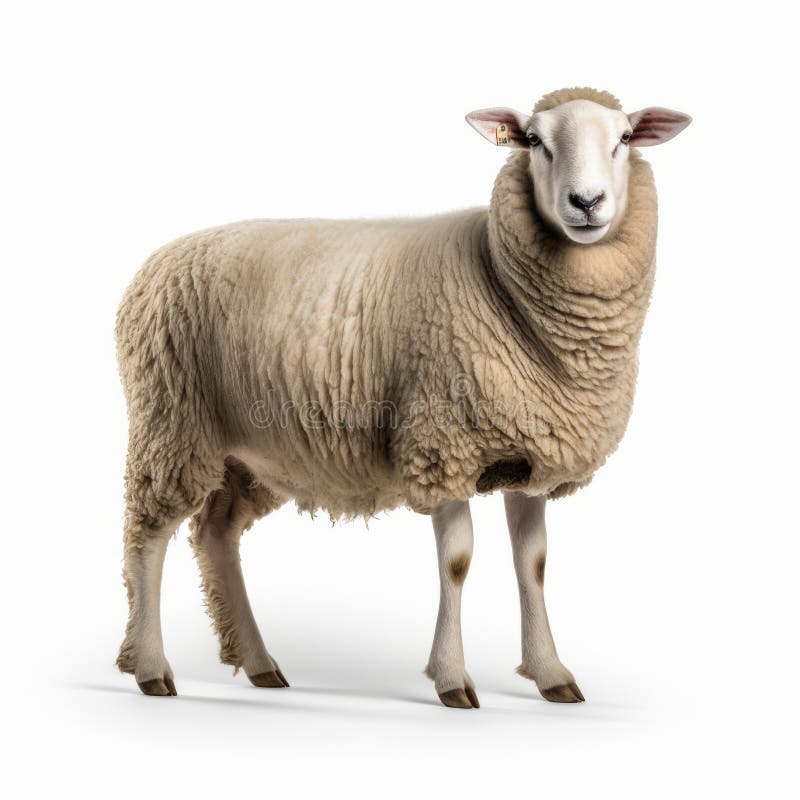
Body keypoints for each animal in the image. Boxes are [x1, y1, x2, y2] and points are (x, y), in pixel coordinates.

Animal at [115, 87, 690, 708]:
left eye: (625, 138)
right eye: (535, 141)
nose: (587, 202)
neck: (496, 275)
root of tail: (155, 263)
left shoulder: (534, 452)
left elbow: (532, 563)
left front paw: (551, 673)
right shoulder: (442, 443)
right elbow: (458, 561)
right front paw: (452, 678)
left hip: (243, 451)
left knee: (217, 534)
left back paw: (260, 663)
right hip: (171, 421)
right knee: (148, 535)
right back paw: (151, 667)